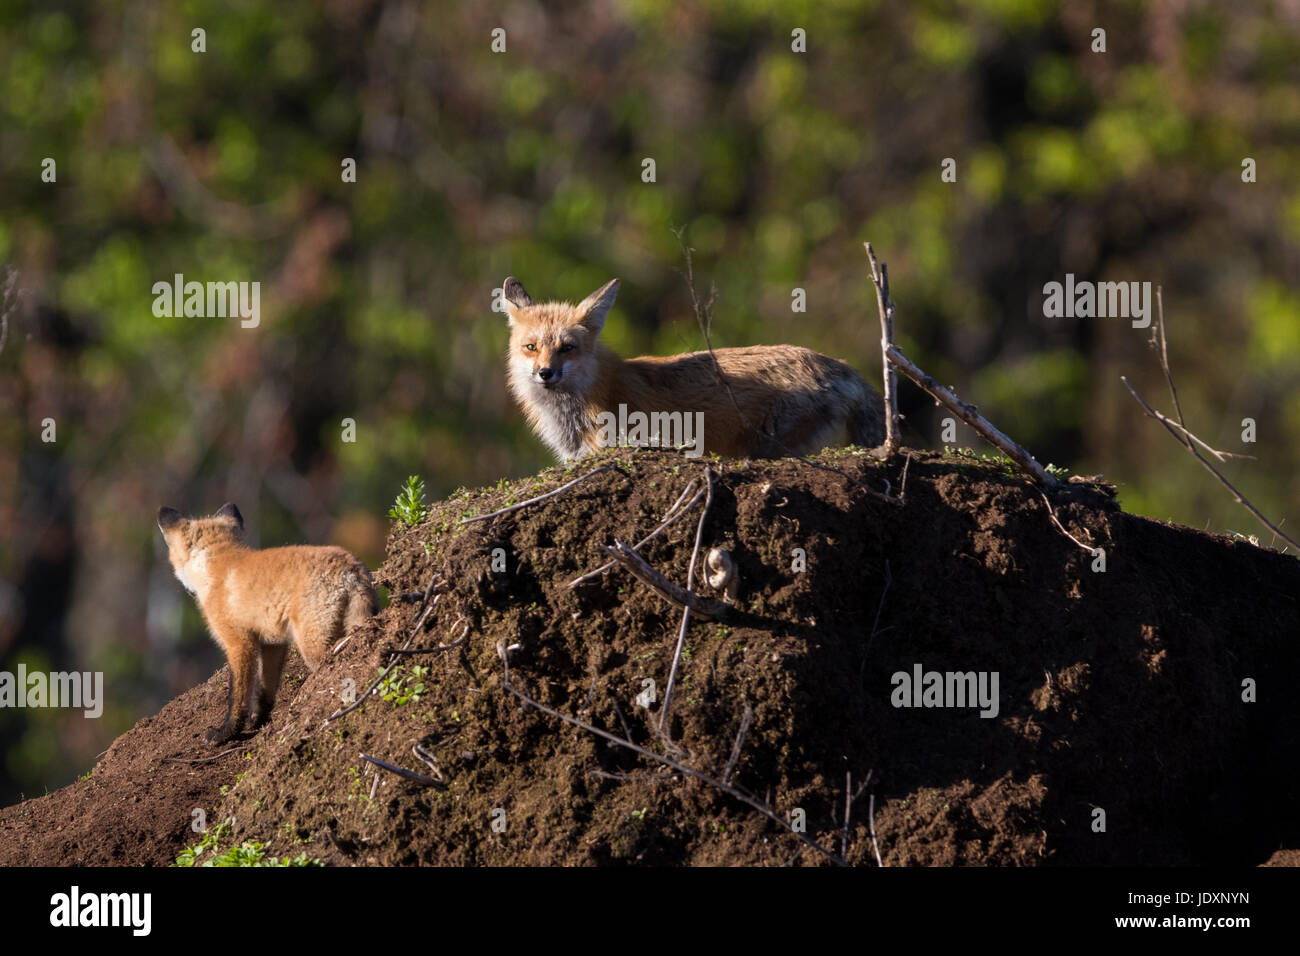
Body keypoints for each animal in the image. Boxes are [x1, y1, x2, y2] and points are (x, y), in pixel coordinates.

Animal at [156, 502, 378, 747]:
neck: (219, 563)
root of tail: (352, 567)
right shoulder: (272, 643)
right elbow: (265, 691)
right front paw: (259, 722)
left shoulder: (239, 643)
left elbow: (237, 696)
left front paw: (226, 733)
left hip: (312, 646)